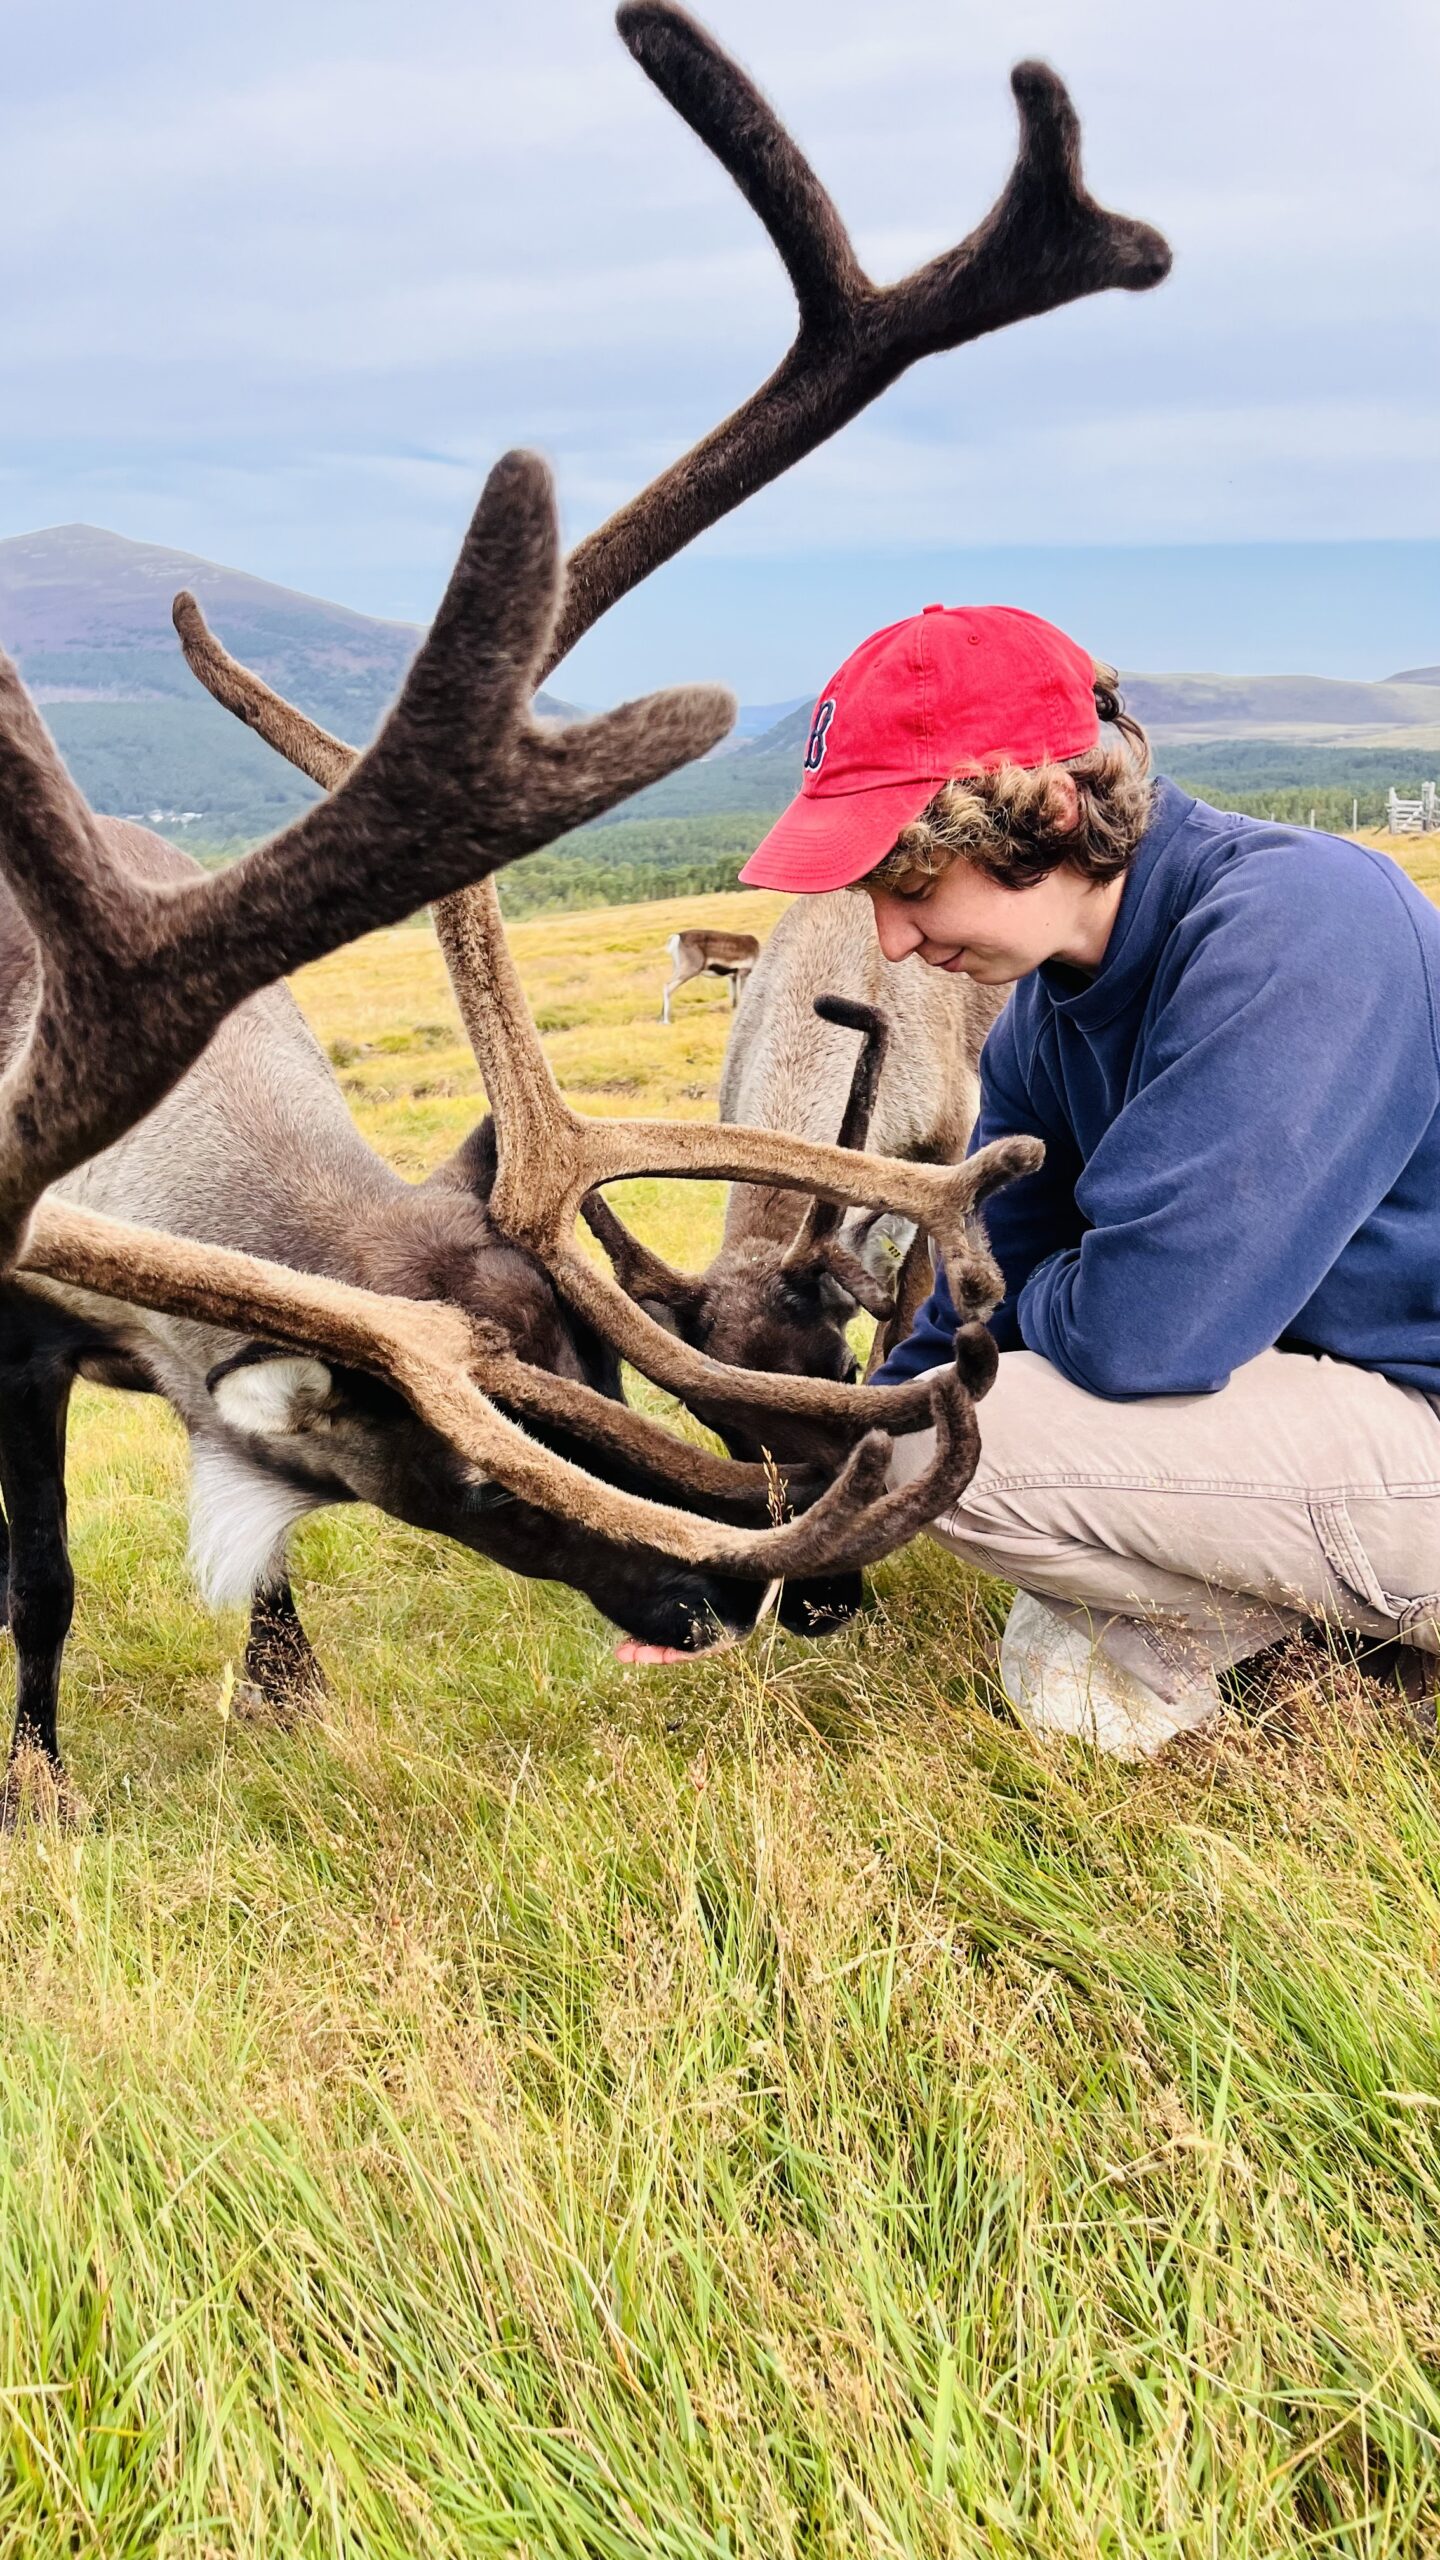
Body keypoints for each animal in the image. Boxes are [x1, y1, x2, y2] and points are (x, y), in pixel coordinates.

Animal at [6, 1, 1168, 1808]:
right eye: (476, 1478)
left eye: (600, 1367)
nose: (725, 1605)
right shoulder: (25, 1351)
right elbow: (45, 1569)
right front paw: (48, 1782)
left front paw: (273, 1691)